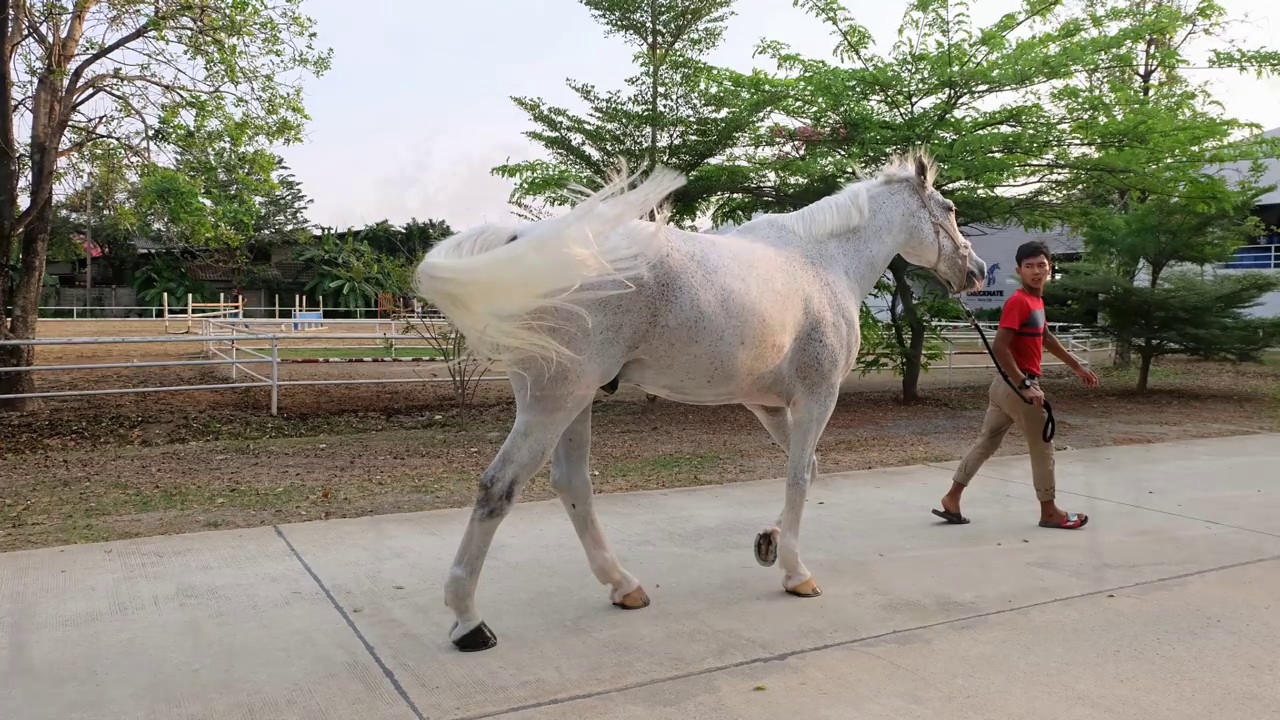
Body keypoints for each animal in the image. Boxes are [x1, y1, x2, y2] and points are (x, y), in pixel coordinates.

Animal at [413, 152, 987, 652]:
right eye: (950, 209)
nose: (977, 272)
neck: (824, 262)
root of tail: (525, 239)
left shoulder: (768, 406)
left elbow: (808, 470)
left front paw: (769, 542)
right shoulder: (817, 398)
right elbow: (800, 479)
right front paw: (796, 572)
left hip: (575, 403)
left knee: (572, 485)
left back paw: (623, 586)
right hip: (554, 402)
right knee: (498, 488)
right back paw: (468, 621)